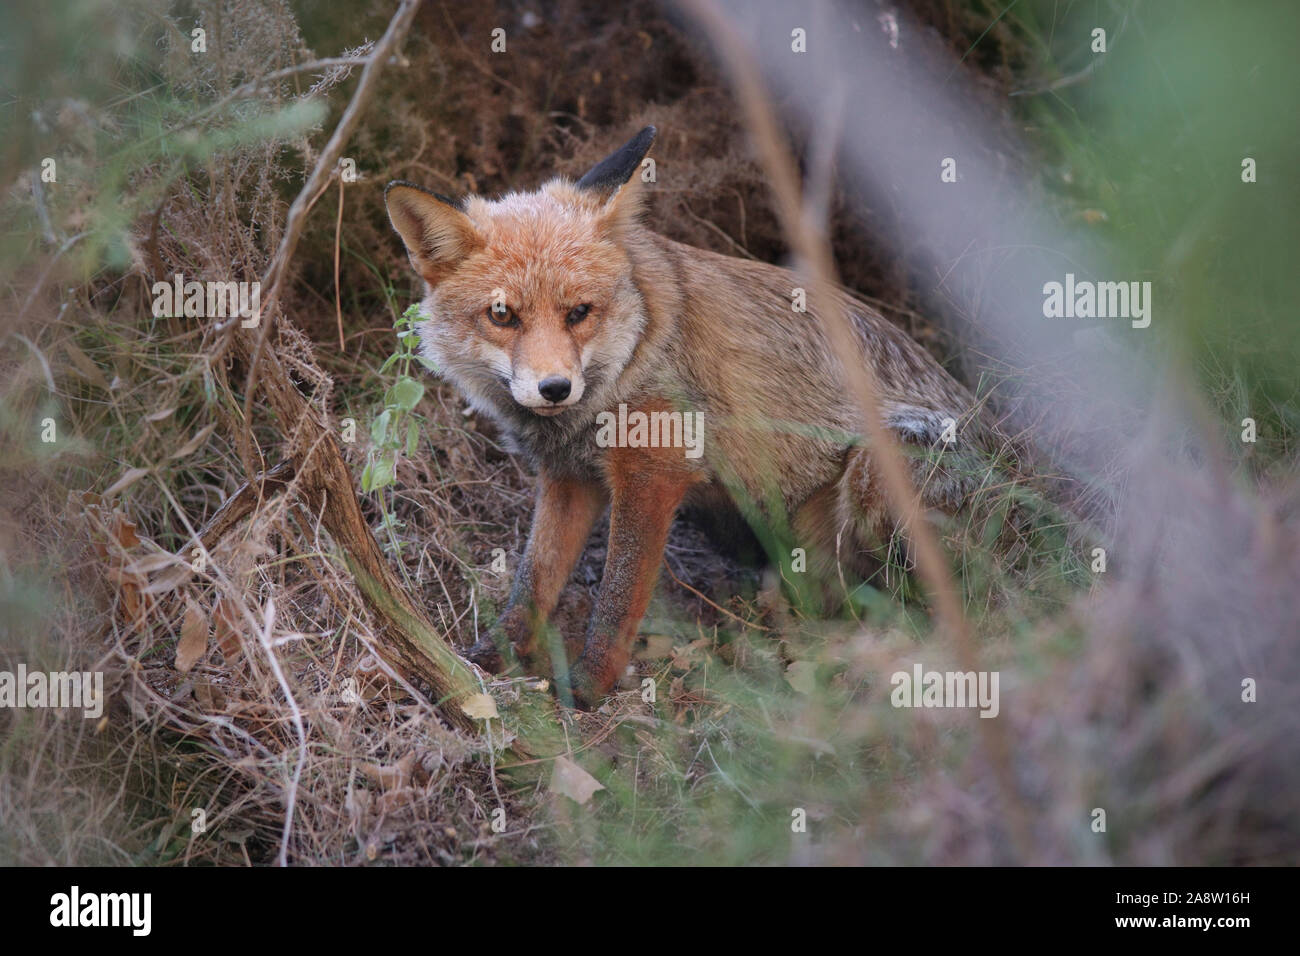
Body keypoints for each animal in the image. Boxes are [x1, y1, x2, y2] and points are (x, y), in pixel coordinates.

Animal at [384, 126, 998, 707]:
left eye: (579, 312)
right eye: (502, 315)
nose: (554, 388)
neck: (632, 355)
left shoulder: (654, 473)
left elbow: (617, 599)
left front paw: (585, 691)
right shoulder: (568, 477)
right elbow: (533, 581)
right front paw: (490, 661)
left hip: (879, 469)